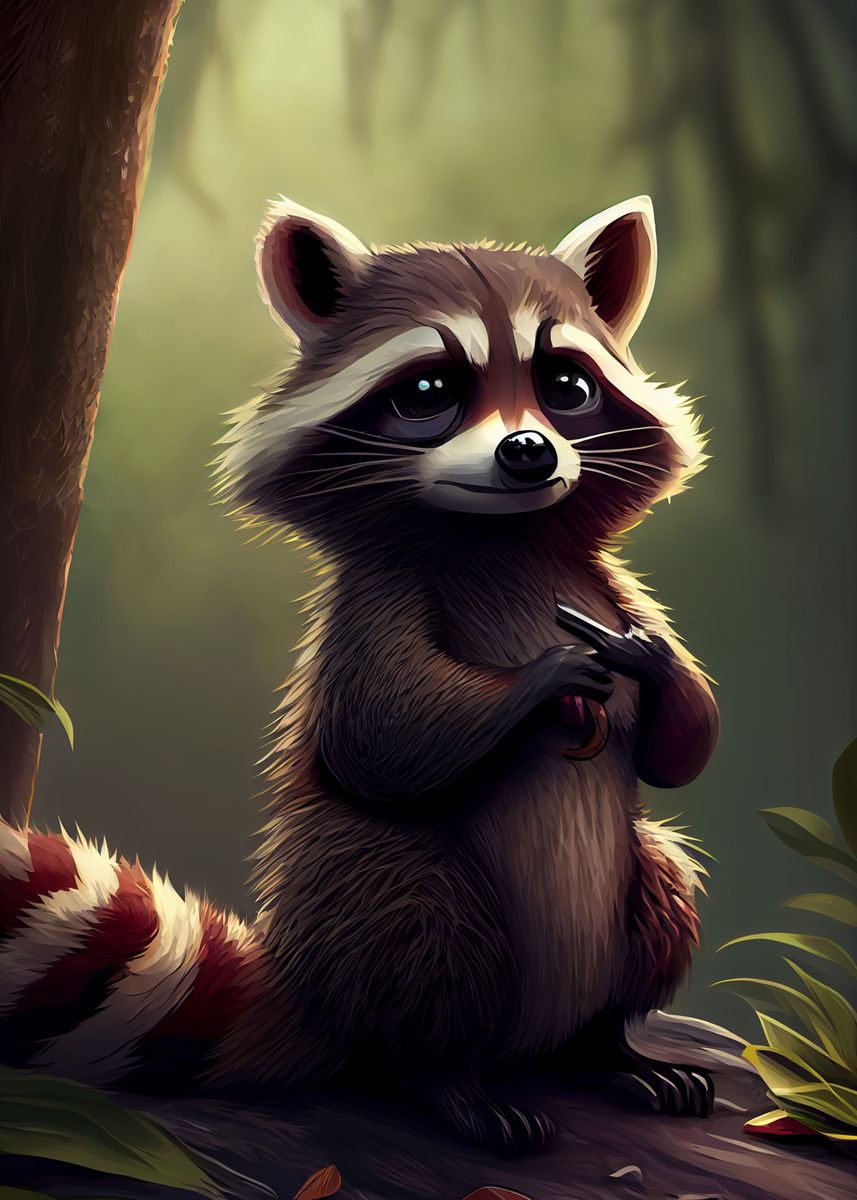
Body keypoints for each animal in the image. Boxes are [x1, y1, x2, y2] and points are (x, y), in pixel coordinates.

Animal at [0, 196, 719, 1154]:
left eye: (566, 386)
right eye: (429, 393)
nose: (530, 454)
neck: (504, 537)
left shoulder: (606, 584)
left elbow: (682, 746)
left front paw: (649, 663)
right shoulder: (372, 604)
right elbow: (378, 739)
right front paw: (544, 676)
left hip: (621, 904)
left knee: (661, 878)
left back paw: (608, 1045)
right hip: (363, 893)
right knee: (419, 924)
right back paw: (447, 1076)